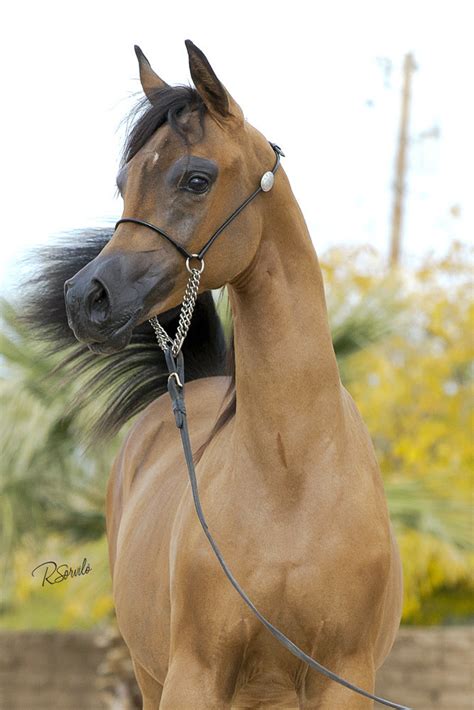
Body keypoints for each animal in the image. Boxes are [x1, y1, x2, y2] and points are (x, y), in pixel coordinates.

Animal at [28, 41, 404, 708]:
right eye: (123, 181)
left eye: (196, 179)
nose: (86, 298)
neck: (291, 480)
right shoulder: (194, 674)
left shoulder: (346, 677)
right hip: (150, 674)